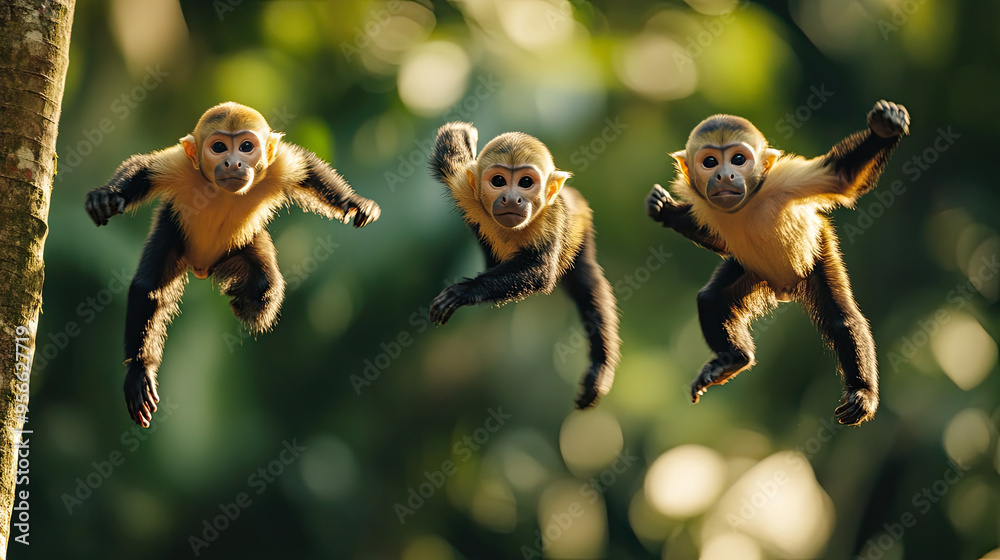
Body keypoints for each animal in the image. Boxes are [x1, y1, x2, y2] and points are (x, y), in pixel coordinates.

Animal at [85, 102, 380, 427]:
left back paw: (247, 301)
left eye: (246, 147)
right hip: (173, 232)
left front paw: (355, 203)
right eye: (218, 147)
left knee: (266, 283)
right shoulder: (181, 167)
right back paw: (140, 370)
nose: (233, 163)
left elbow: (308, 169)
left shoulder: (277, 166)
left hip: (241, 246)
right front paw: (105, 197)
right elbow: (142, 169)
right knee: (149, 288)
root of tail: (201, 266)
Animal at [428, 122, 621, 409]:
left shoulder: (551, 219)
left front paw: (465, 291)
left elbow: (541, 272)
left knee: (587, 283)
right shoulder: (461, 182)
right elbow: (452, 137)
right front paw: (468, 137)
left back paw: (600, 365)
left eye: (526, 182)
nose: (511, 198)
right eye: (498, 181)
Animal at [645, 100, 909, 425]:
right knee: (709, 298)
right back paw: (734, 360)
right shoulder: (703, 204)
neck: (747, 205)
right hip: (751, 272)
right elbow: (718, 243)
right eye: (709, 162)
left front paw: (886, 127)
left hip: (816, 251)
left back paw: (862, 393)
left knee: (842, 318)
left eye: (738, 159)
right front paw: (664, 209)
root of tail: (783, 287)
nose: (724, 176)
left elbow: (843, 177)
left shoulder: (784, 180)